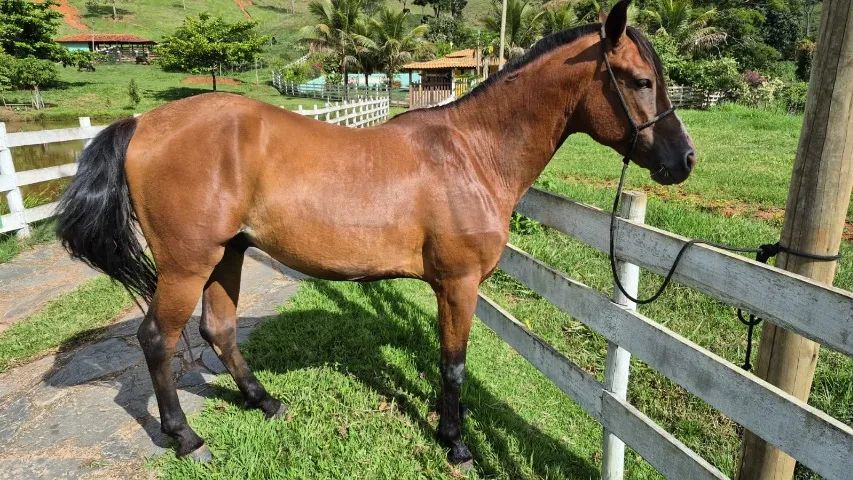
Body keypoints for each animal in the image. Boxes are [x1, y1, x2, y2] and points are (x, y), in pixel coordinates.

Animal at [56, 0, 694, 466]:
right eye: (640, 81)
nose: (683, 160)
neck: (471, 152)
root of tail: (143, 123)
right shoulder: (459, 284)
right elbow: (454, 363)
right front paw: (456, 443)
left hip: (227, 255)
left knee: (220, 329)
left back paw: (266, 402)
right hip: (187, 265)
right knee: (157, 340)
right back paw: (186, 438)